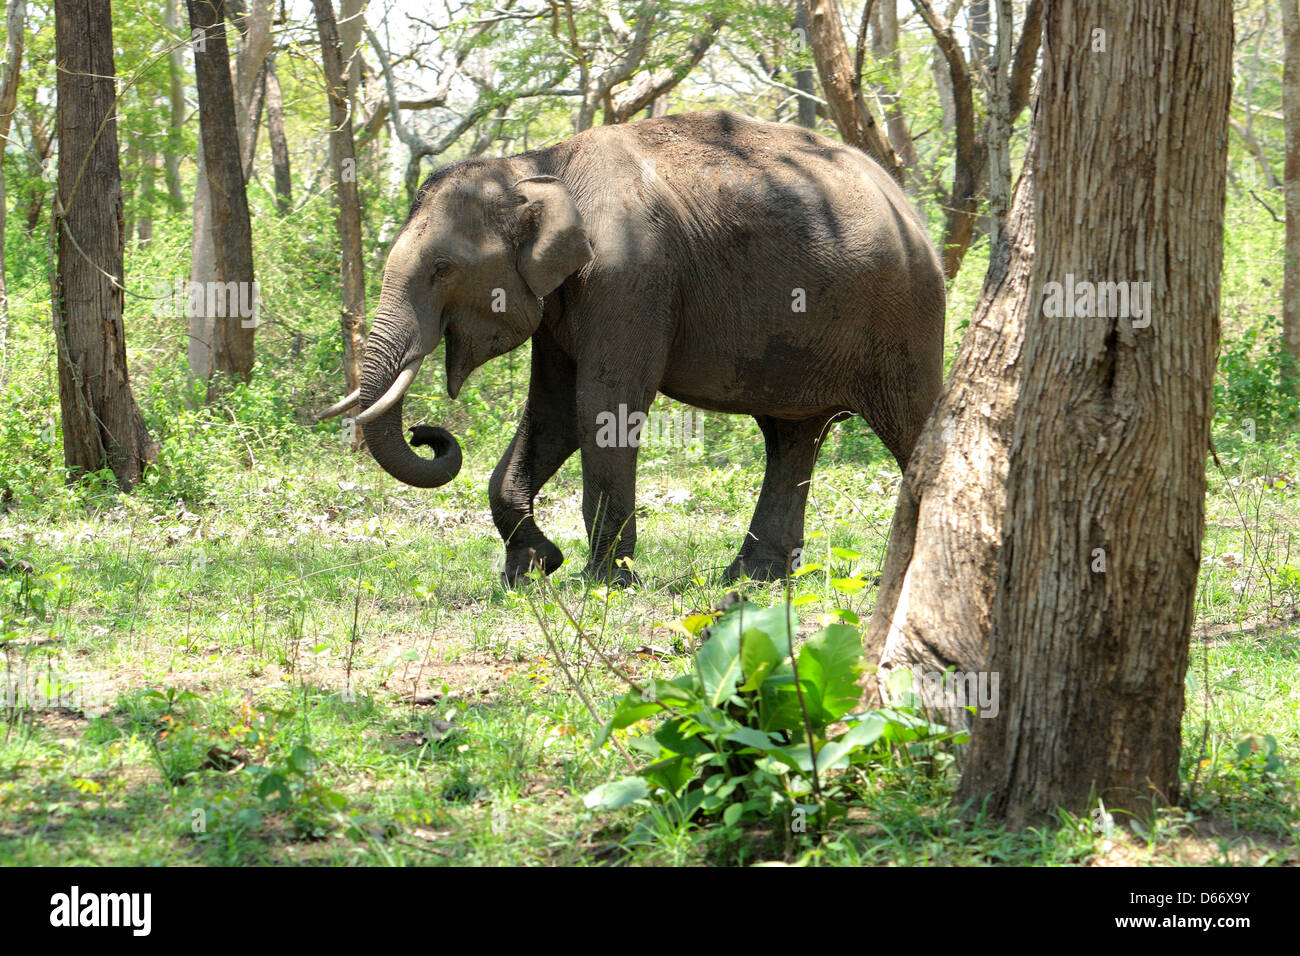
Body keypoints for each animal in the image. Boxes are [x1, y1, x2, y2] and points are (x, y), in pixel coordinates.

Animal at [317, 110, 945, 586]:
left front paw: (603, 582)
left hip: (905, 319)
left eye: (442, 269)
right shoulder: (563, 297)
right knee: (791, 438)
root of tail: (907, 204)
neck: (539, 165)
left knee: (911, 423)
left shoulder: (630, 275)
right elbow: (550, 414)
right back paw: (750, 579)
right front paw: (533, 570)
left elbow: (603, 406)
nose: (427, 434)